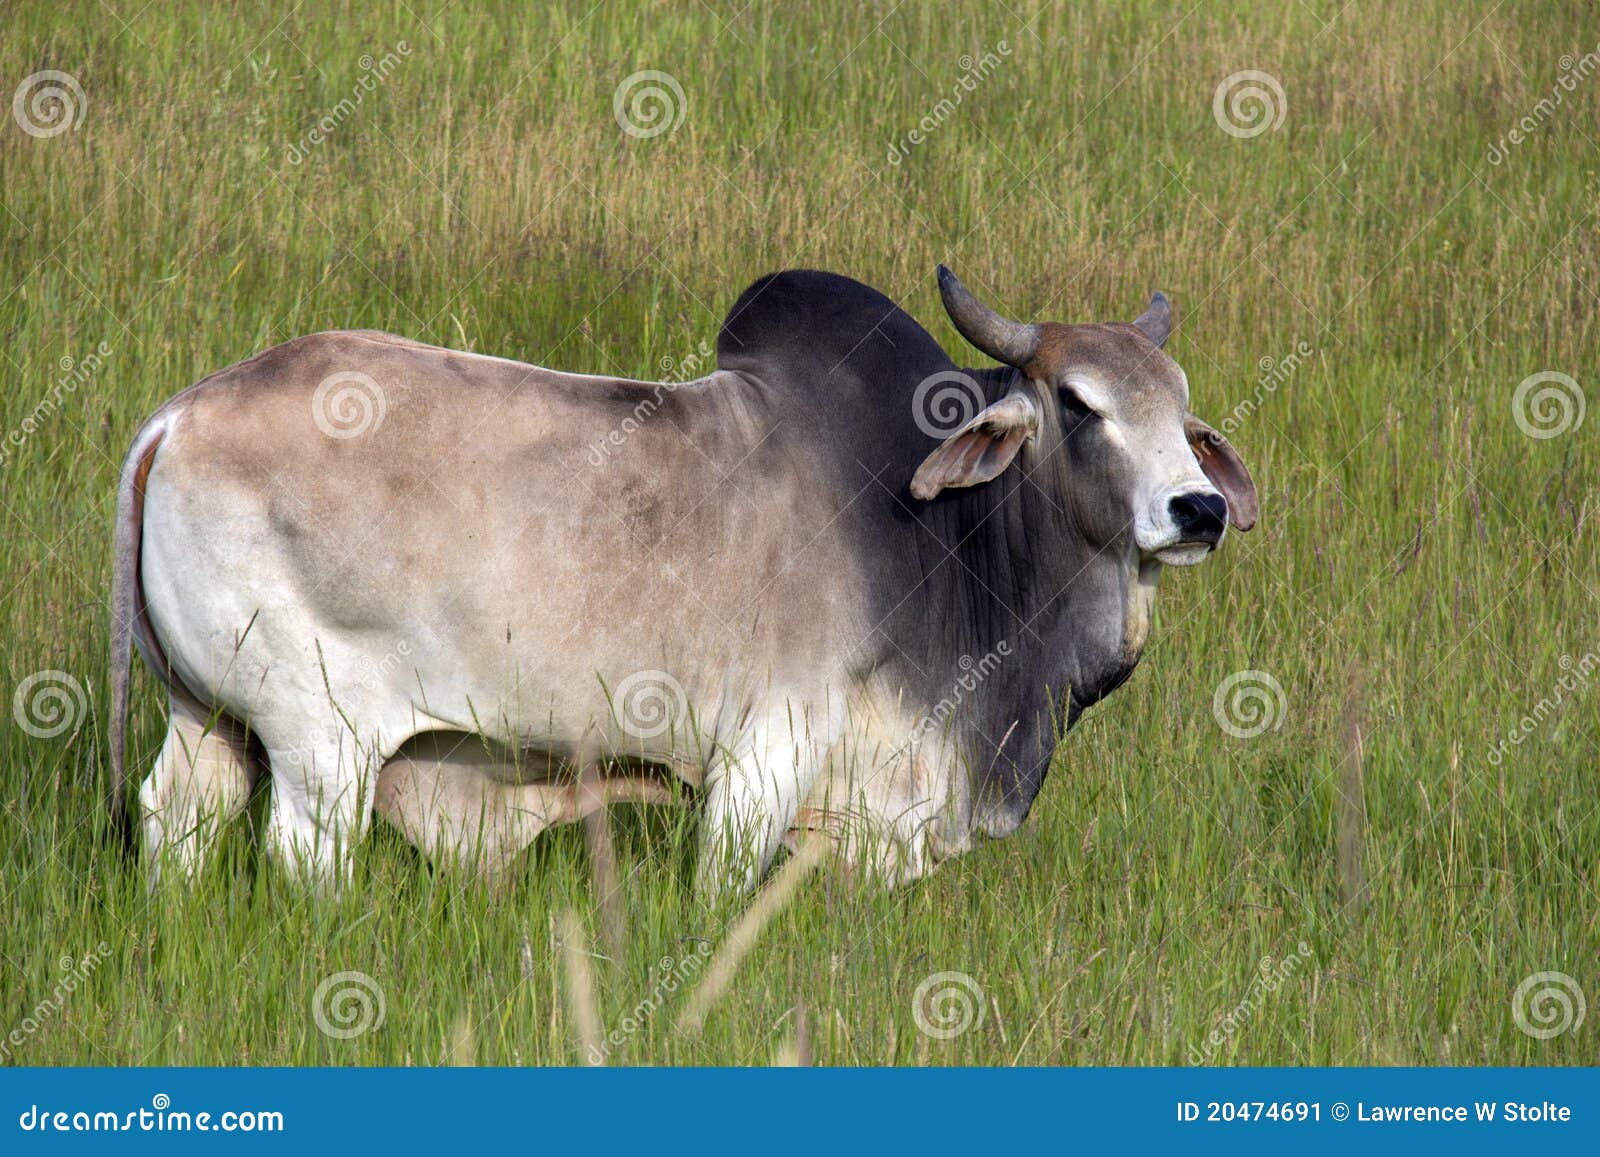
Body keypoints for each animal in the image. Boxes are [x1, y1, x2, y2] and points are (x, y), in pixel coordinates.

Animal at [109, 266, 1256, 893]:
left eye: (1181, 406)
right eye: (1077, 402)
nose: (1197, 510)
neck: (952, 544)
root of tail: (182, 411)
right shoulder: (765, 750)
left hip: (206, 714)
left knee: (175, 816)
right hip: (324, 737)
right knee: (307, 851)